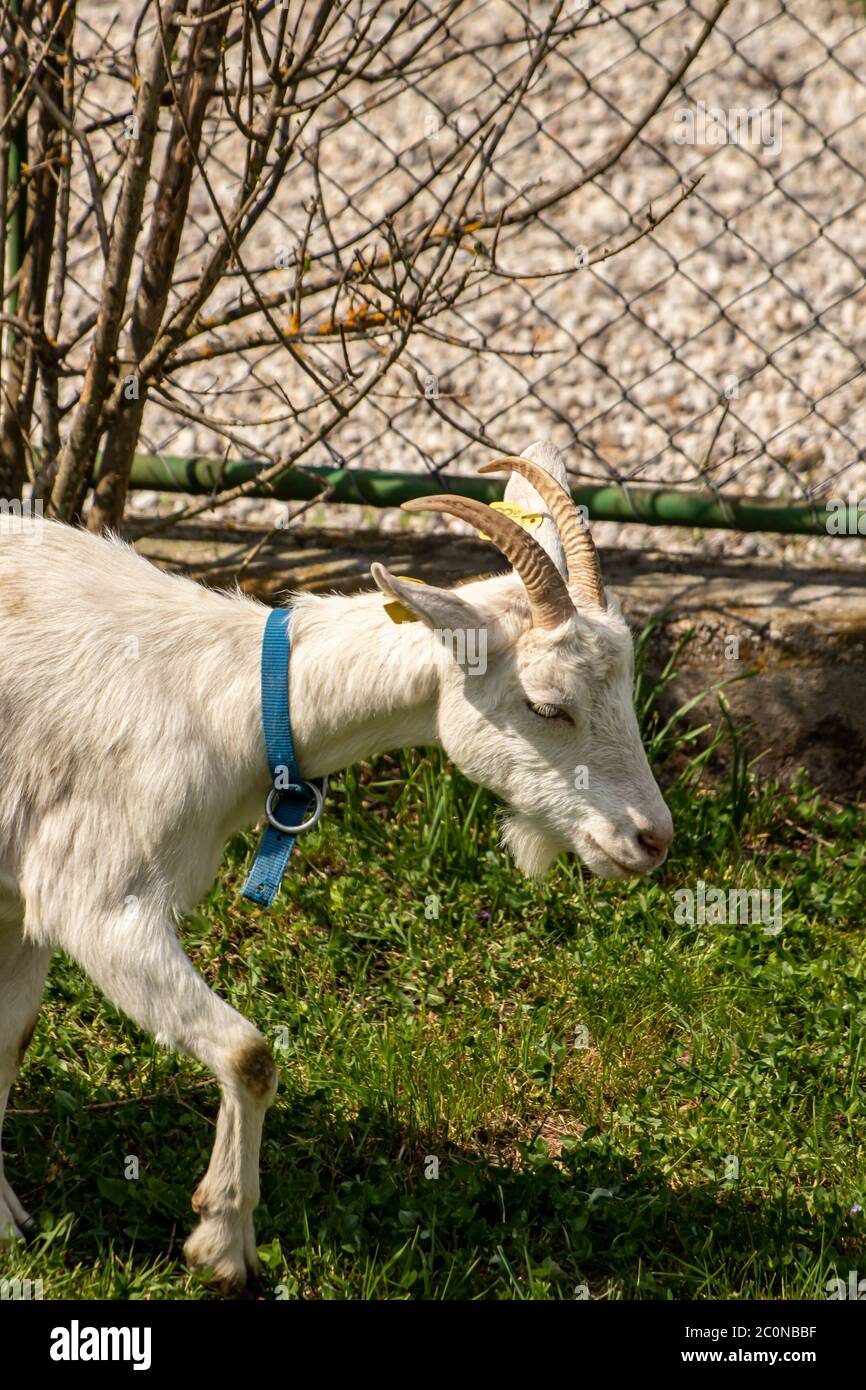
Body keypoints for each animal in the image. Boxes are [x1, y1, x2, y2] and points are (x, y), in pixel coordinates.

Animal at [0, 443, 672, 1290]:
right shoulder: (95, 894)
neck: (230, 697)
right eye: (547, 705)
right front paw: (223, 1246)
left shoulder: (20, 901)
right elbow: (250, 1054)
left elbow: (9, 1040)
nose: (652, 839)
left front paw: (7, 1220)